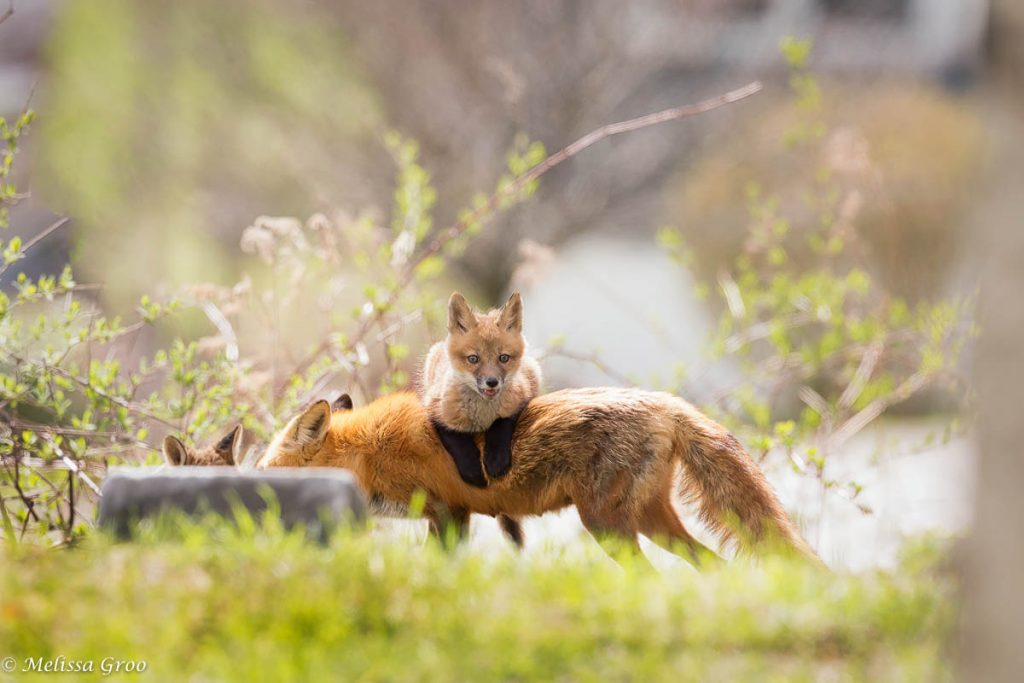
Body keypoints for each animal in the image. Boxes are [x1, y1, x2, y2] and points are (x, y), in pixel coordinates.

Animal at [261, 388, 823, 568]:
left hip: (607, 527)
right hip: (650, 521)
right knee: (713, 569)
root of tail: (665, 403)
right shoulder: (454, 515)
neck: (369, 453)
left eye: (263, 471)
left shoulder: (446, 512)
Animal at [420, 291, 542, 487]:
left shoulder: (522, 397)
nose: (492, 382)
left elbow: (500, 424)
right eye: (473, 359)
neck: (482, 416)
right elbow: (456, 440)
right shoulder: (434, 409)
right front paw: (472, 471)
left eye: (503, 358)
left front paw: (495, 460)